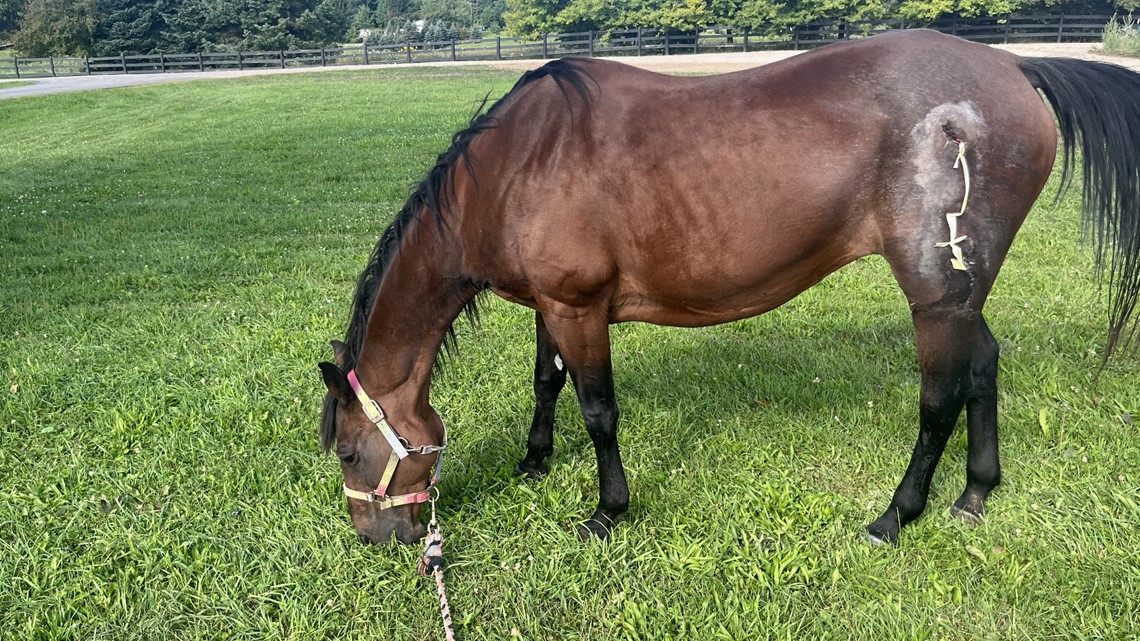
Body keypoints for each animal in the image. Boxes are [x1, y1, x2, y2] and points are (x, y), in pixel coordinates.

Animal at [317, 29, 1140, 546]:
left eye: (350, 454)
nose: (376, 537)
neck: (514, 167)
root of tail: (1014, 68)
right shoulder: (552, 305)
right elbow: (546, 383)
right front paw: (534, 462)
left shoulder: (580, 309)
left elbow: (599, 411)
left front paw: (606, 511)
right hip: (962, 288)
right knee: (984, 365)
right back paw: (974, 493)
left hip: (933, 292)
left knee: (938, 398)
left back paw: (896, 515)